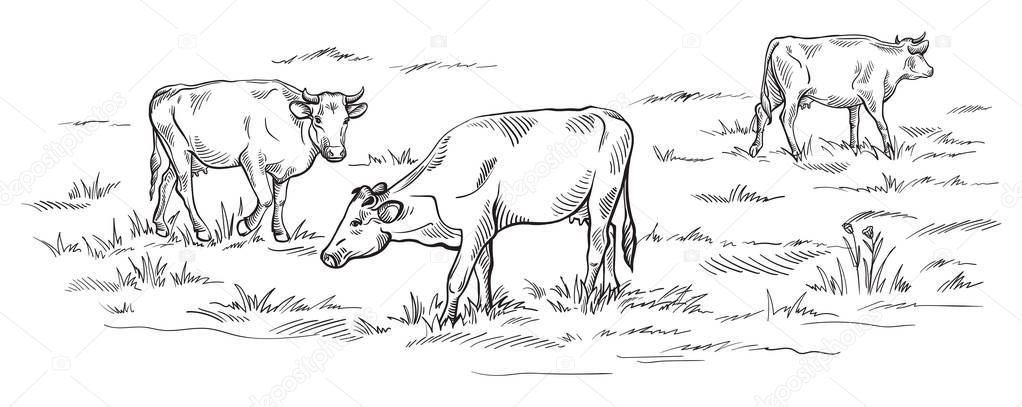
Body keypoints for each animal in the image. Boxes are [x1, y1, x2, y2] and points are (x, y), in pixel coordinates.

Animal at [148, 79, 367, 242]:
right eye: (318, 119)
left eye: (346, 120)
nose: (336, 152)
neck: (293, 123)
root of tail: (167, 91)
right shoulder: (252, 159)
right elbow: (266, 198)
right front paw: (244, 226)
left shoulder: (282, 170)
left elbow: (280, 199)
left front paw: (280, 232)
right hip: (179, 150)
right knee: (184, 188)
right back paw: (202, 231)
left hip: (173, 153)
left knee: (166, 182)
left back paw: (161, 226)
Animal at [319, 107, 637, 324]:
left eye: (356, 223)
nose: (326, 255)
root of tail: (609, 114)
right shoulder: (485, 229)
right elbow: (485, 269)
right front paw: (486, 309)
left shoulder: (475, 229)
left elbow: (456, 278)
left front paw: (446, 322)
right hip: (604, 204)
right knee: (611, 236)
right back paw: (611, 289)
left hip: (602, 196)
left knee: (596, 247)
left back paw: (586, 298)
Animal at [747, 33, 933, 161]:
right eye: (919, 55)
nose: (931, 69)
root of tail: (782, 40)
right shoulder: (873, 97)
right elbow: (881, 124)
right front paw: (889, 152)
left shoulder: (855, 102)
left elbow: (854, 122)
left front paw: (854, 149)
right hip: (791, 94)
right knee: (786, 118)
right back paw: (797, 153)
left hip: (774, 92)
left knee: (761, 110)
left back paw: (756, 148)